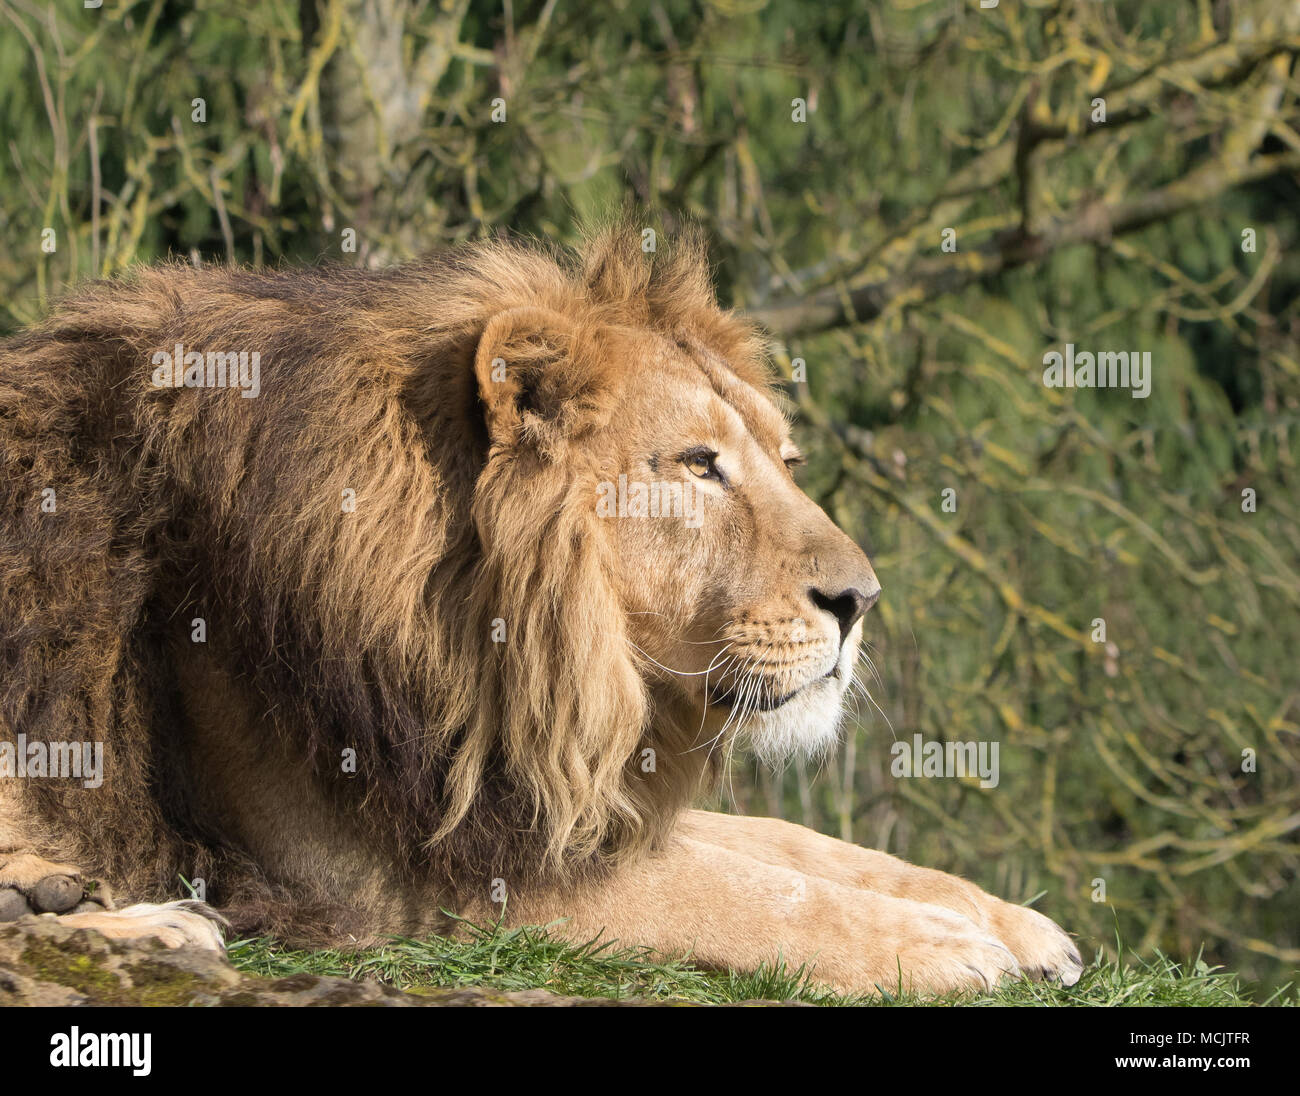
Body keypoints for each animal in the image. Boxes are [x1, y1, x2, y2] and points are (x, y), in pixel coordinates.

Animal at [0, 223, 1081, 995]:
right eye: (698, 464)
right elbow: (745, 891)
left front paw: (1008, 919)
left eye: (787, 460)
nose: (860, 601)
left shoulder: (544, 798)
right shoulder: (400, 885)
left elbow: (792, 845)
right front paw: (940, 946)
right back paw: (156, 924)